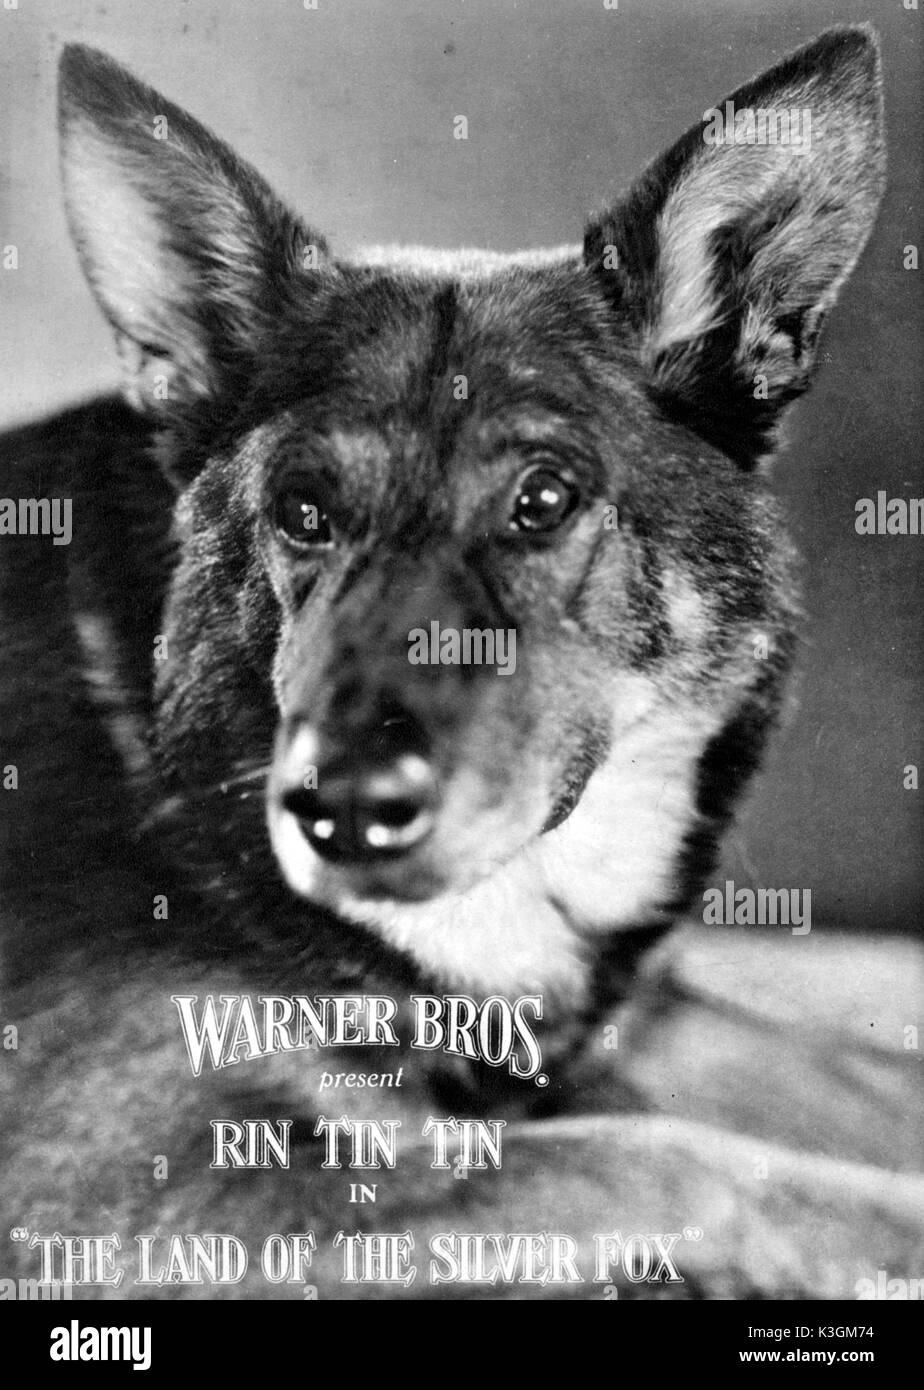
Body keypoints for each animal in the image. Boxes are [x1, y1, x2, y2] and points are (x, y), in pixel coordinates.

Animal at [0, 27, 921, 1301]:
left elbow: (842, 1071)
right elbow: (679, 1158)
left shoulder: (666, 1017)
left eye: (543, 500)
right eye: (303, 512)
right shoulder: (120, 1184)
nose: (343, 808)